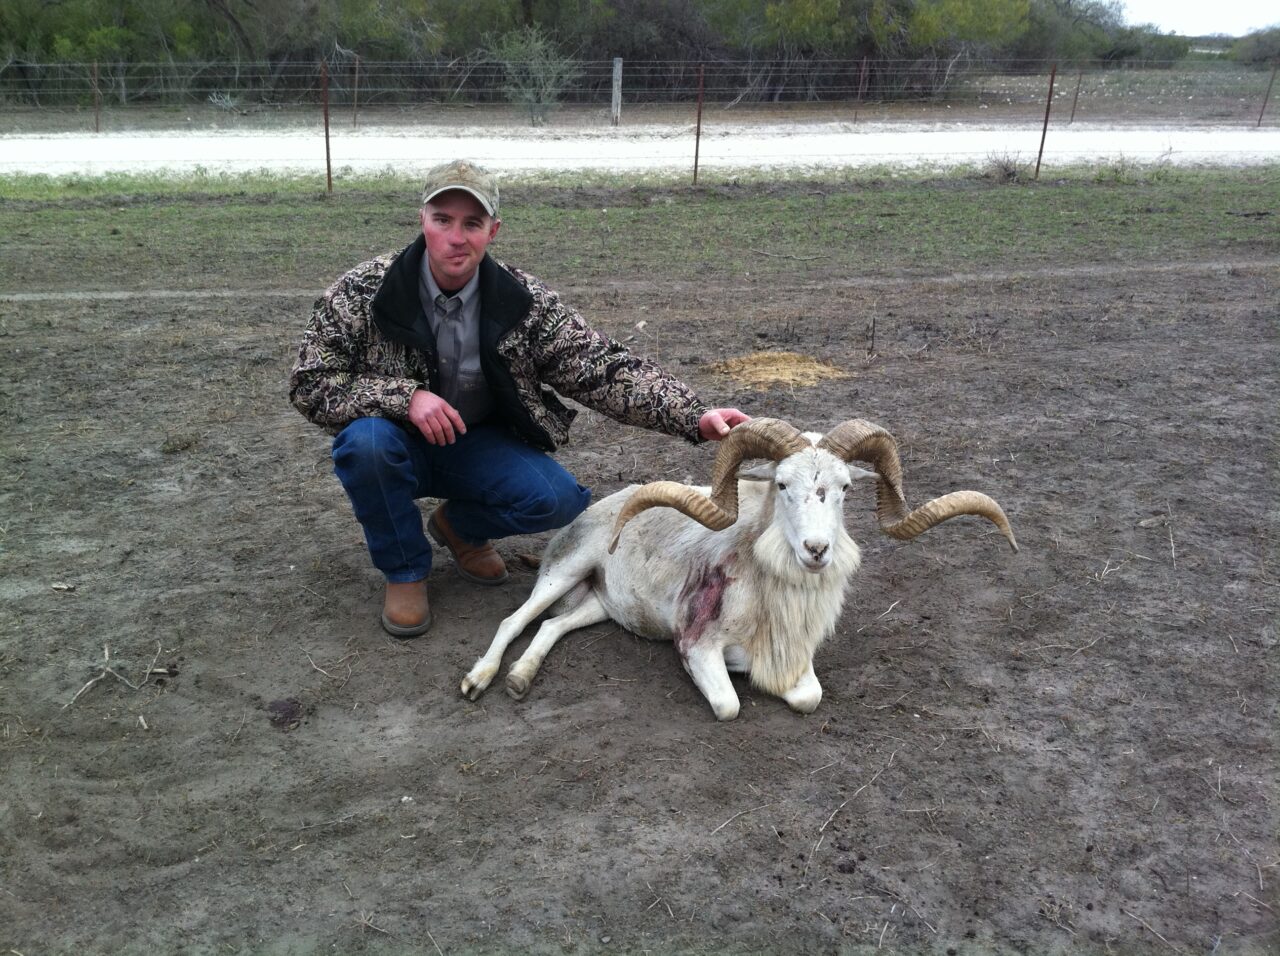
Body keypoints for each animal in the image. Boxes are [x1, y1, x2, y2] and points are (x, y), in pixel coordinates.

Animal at [460, 418, 1018, 720]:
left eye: (844, 488)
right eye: (783, 484)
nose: (816, 550)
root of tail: (603, 507)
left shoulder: (798, 659)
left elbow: (809, 696)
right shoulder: (695, 645)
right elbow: (729, 703)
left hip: (597, 603)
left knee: (552, 626)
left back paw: (520, 681)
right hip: (563, 572)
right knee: (516, 619)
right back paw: (478, 681)